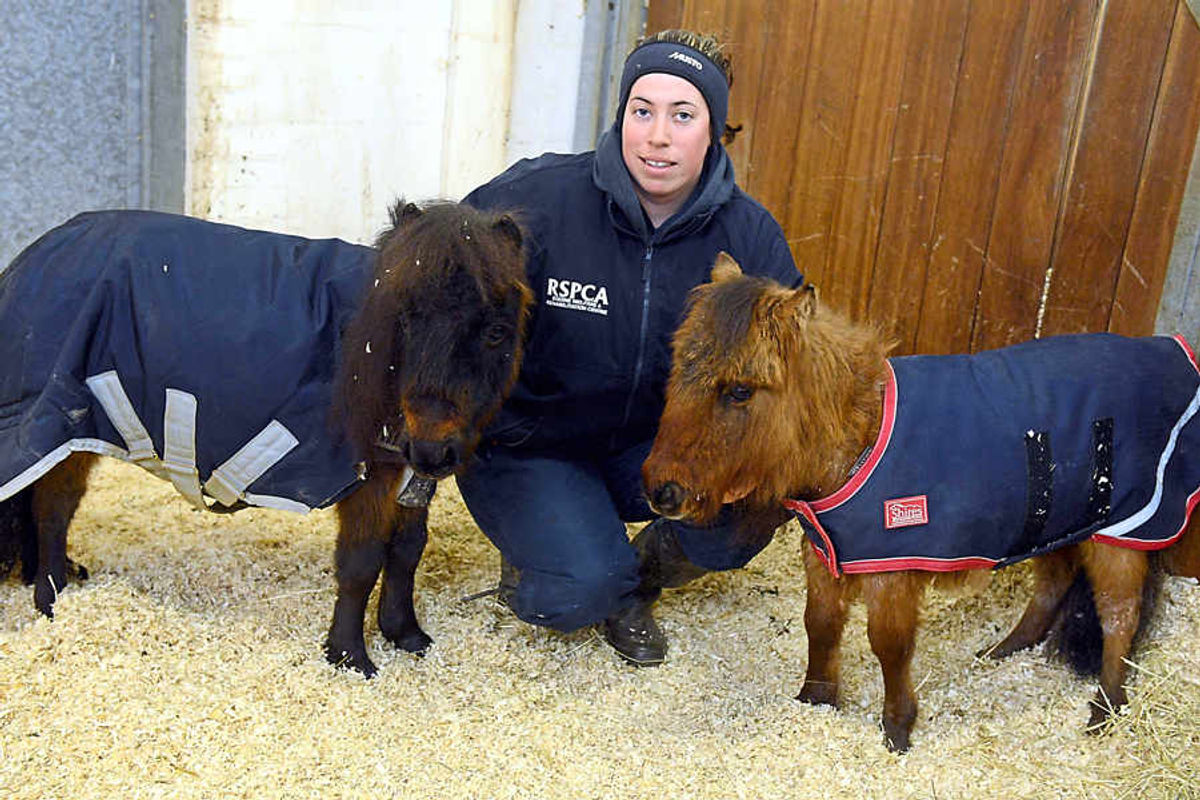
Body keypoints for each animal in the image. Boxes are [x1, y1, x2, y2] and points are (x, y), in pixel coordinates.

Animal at [0, 200, 533, 678]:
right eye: (403, 319)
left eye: (496, 332)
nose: (432, 447)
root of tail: (39, 252)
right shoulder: (365, 477)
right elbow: (361, 562)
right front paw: (349, 656)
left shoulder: (406, 477)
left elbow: (406, 551)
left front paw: (406, 634)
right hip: (66, 423)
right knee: (53, 507)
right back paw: (51, 598)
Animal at [642, 252, 1200, 752]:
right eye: (679, 367)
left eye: (739, 390)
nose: (661, 491)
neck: (860, 437)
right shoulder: (823, 556)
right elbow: (820, 627)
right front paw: (814, 701)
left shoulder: (891, 571)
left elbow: (889, 646)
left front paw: (897, 726)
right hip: (1060, 521)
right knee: (1055, 584)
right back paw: (1004, 651)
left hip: (1122, 532)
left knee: (1120, 615)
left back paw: (1106, 707)